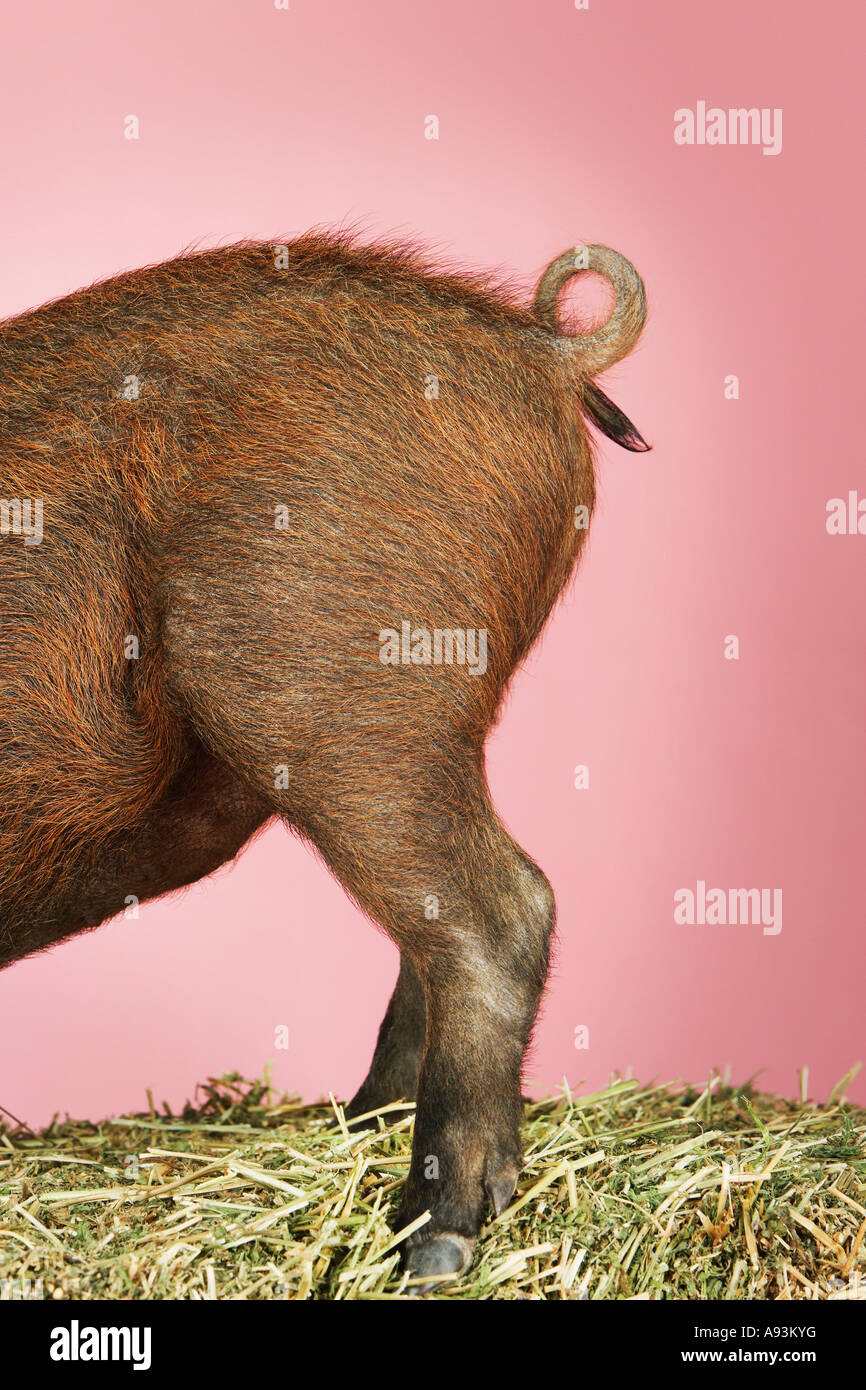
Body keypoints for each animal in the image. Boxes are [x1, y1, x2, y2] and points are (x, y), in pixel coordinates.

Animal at [0, 233, 647, 1285]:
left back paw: (429, 1243)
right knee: (434, 934)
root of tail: (543, 351)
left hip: (337, 701)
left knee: (502, 910)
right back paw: (355, 1129)